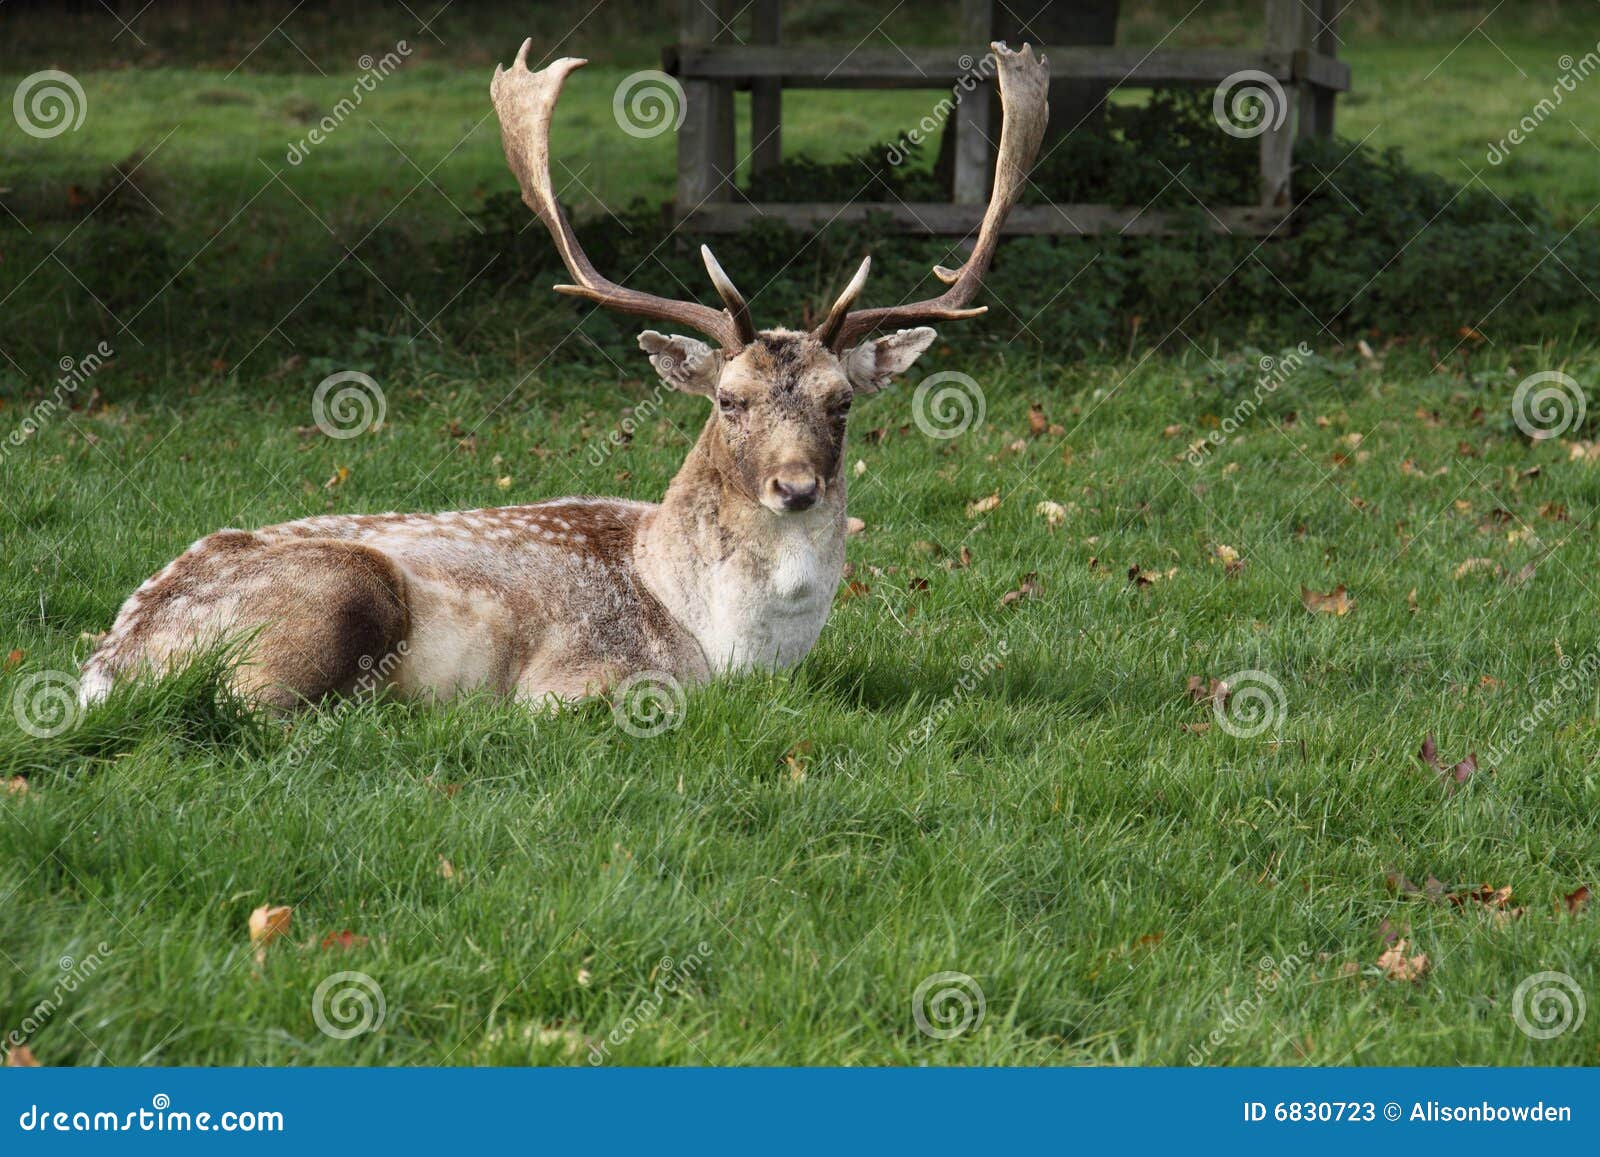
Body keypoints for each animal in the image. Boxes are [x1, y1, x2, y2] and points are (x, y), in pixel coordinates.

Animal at [77, 40, 1048, 714]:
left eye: (840, 400)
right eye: (727, 400)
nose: (797, 486)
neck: (731, 645)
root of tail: (110, 660)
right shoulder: (581, 671)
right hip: (335, 593)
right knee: (253, 709)